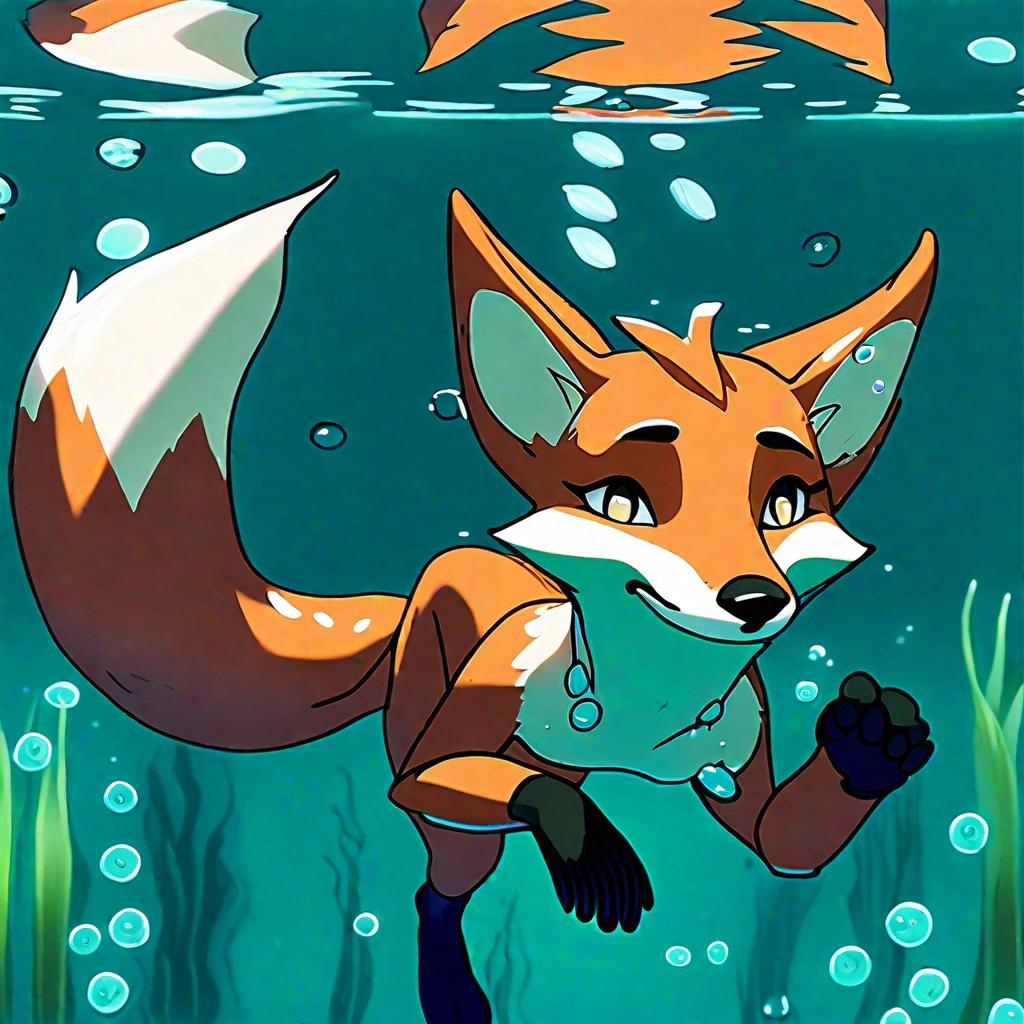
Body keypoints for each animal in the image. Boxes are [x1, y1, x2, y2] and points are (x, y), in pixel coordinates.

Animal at [10, 173, 936, 1023]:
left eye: (783, 504)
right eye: (625, 502)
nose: (753, 598)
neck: (645, 704)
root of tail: (428, 576)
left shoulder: (743, 731)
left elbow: (779, 842)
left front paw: (868, 747)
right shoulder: (487, 700)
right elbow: (441, 783)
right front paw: (584, 839)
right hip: (450, 752)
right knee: (443, 876)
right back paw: (453, 991)